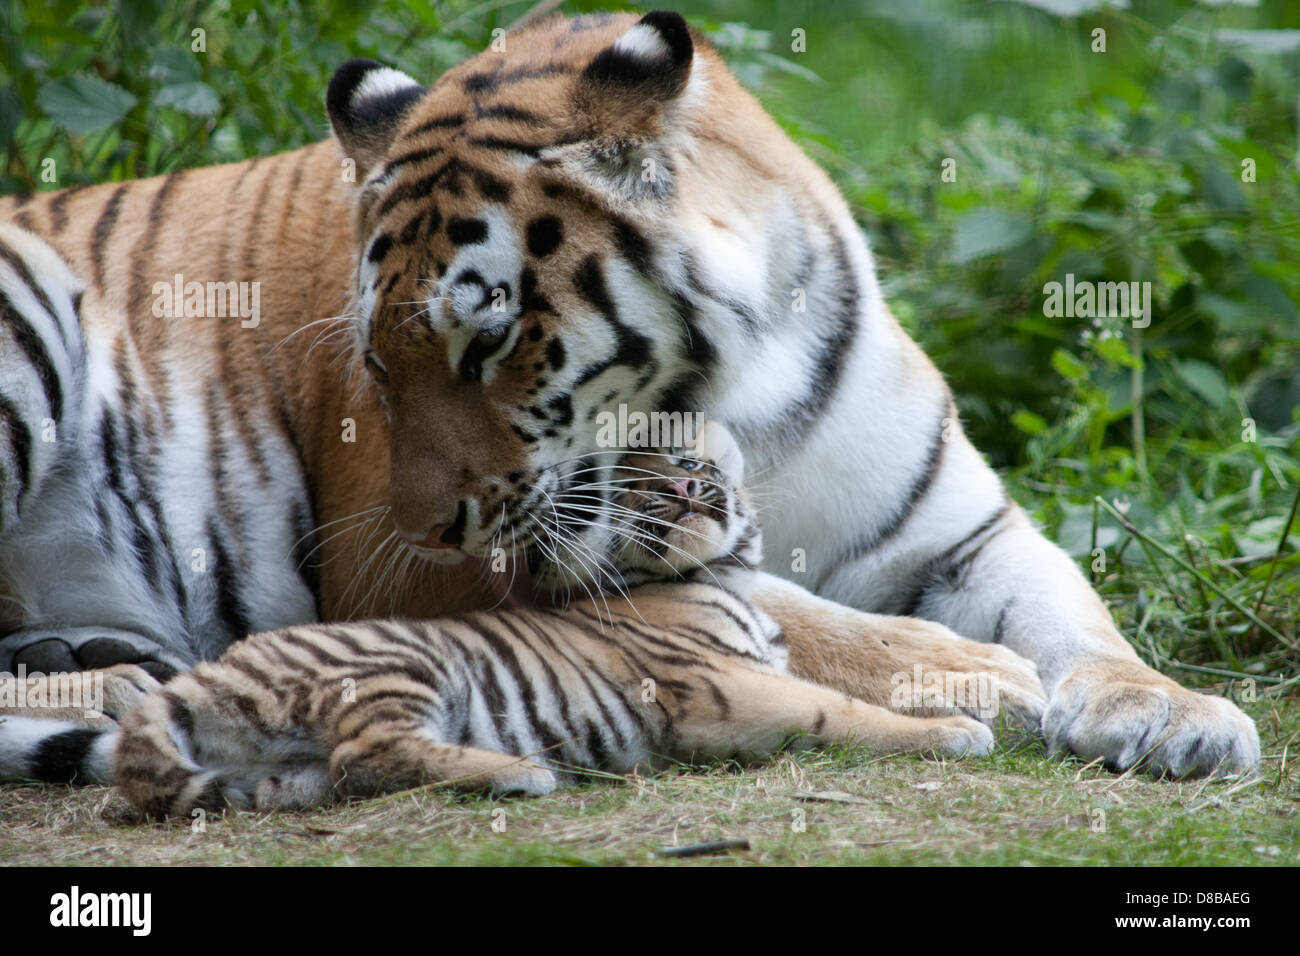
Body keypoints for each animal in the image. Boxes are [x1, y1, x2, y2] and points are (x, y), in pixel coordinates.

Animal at [0, 9, 1258, 780]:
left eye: (488, 339)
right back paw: (113, 686)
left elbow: (1071, 606)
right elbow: (778, 604)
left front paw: (1170, 710)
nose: (424, 521)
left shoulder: (959, 527)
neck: (742, 398)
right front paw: (966, 669)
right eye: (377, 364)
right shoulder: (423, 571)